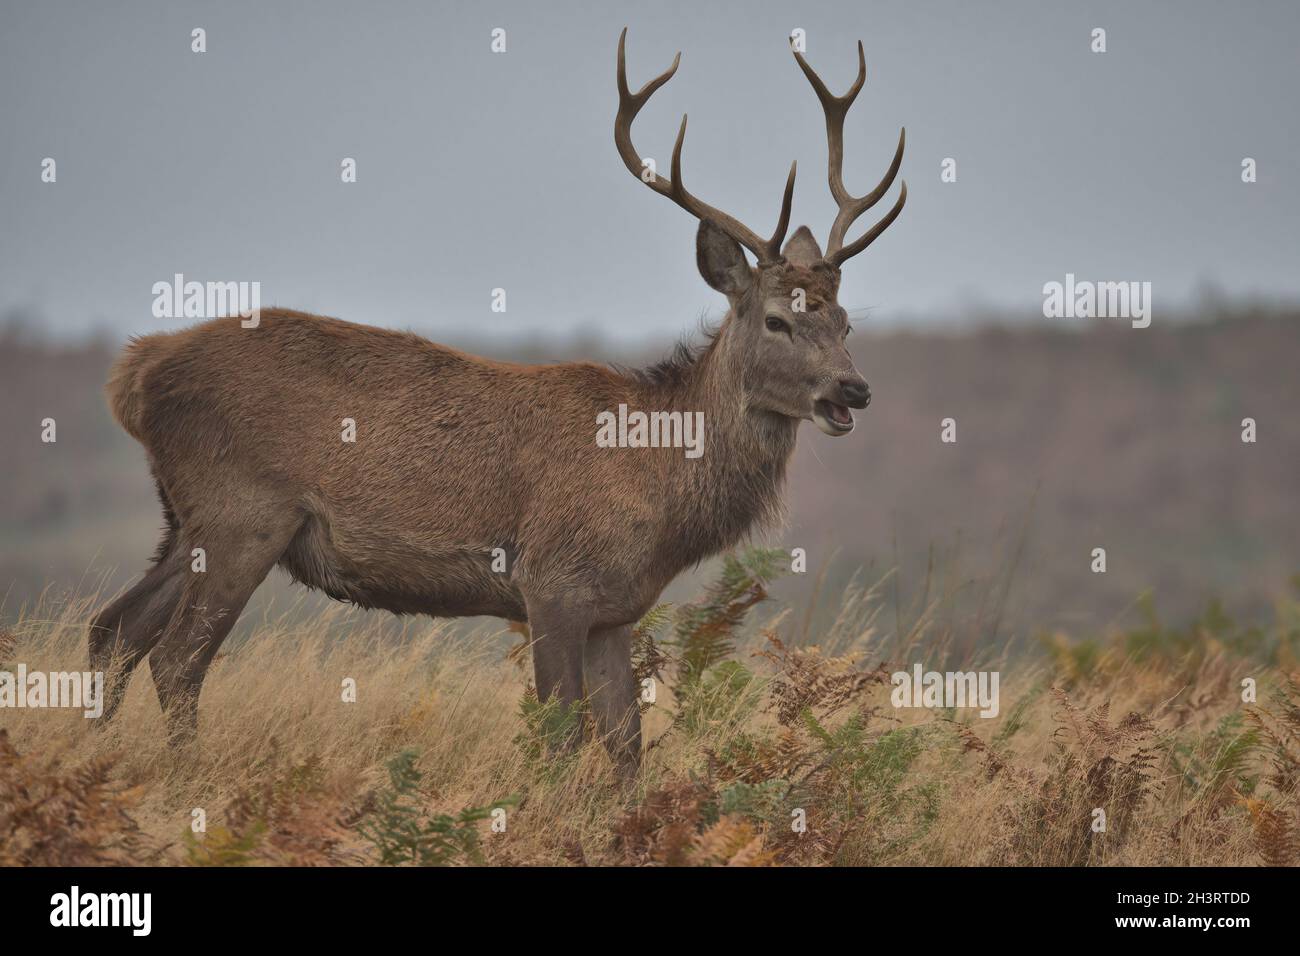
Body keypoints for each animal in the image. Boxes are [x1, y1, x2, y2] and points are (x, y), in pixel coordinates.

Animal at [88, 29, 906, 773]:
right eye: (777, 320)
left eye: (844, 321)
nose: (853, 388)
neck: (659, 481)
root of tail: (133, 371)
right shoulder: (552, 582)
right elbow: (561, 733)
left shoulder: (614, 609)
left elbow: (626, 747)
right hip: (243, 509)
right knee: (175, 659)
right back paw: (185, 780)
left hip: (186, 517)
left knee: (112, 631)